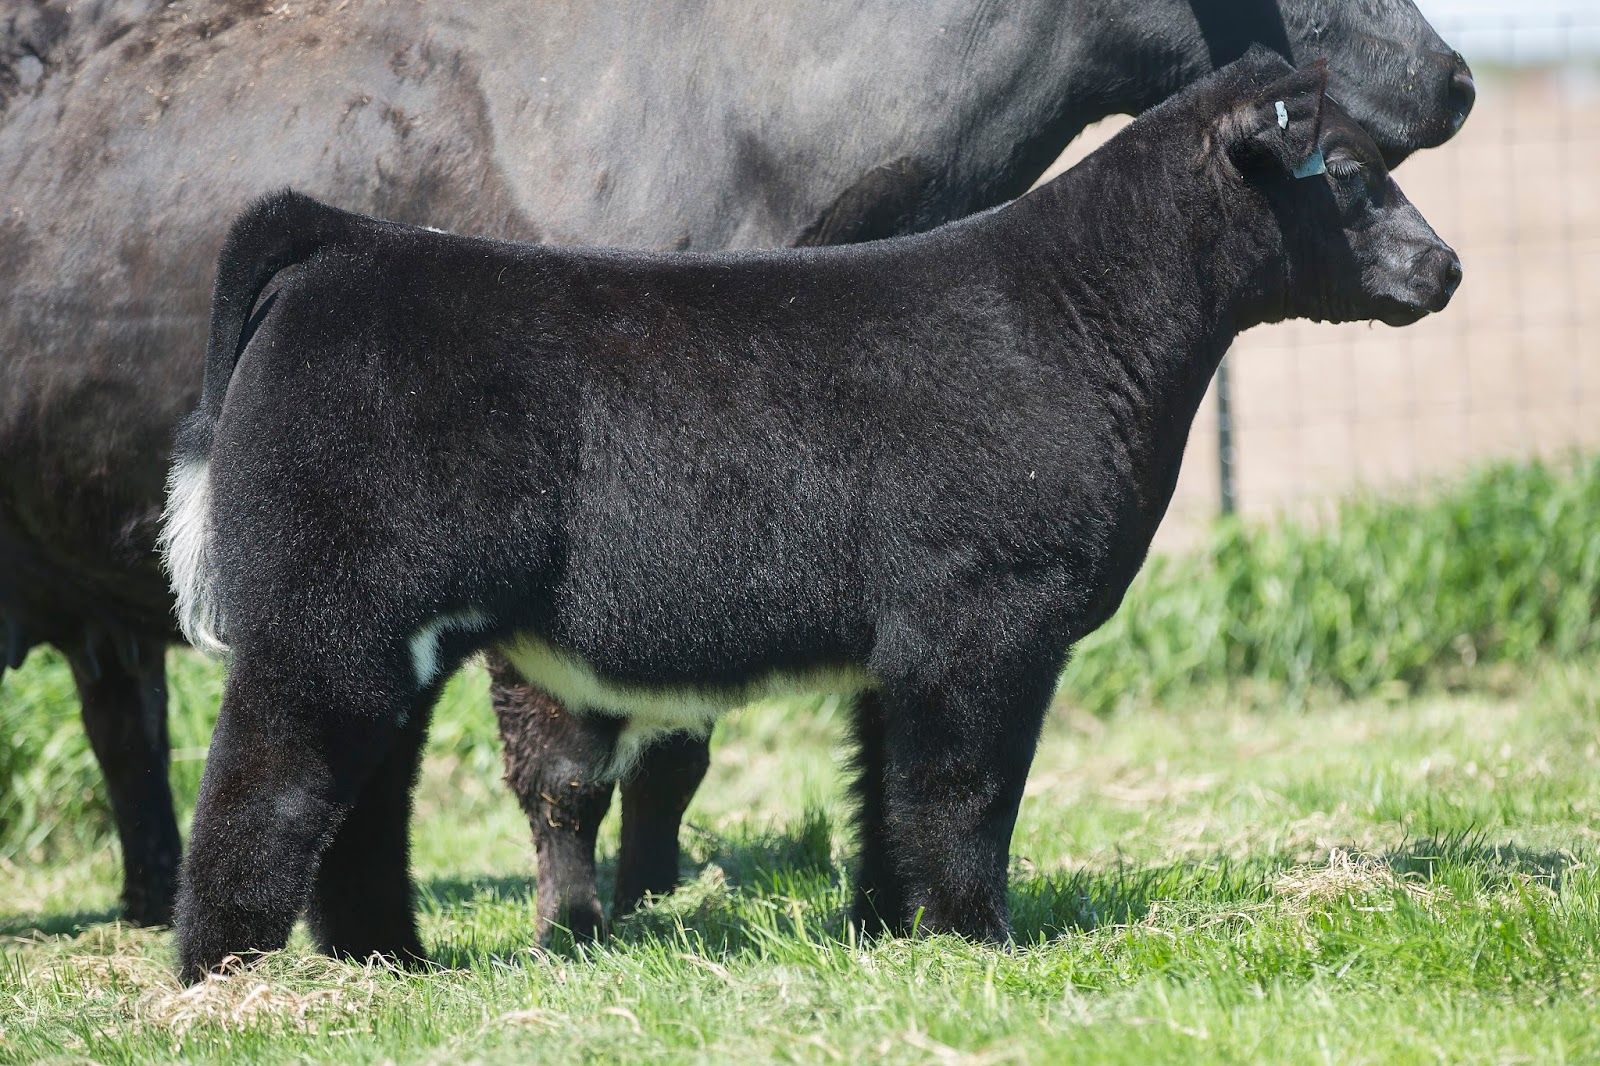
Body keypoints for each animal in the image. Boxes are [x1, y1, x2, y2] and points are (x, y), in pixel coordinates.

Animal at [0, 0, 1474, 930]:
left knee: (245, 763)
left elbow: (824, 781)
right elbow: (937, 791)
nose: (1450, 264)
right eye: (1341, 170)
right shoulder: (959, 617)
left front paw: (852, 921)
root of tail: (335, 242)